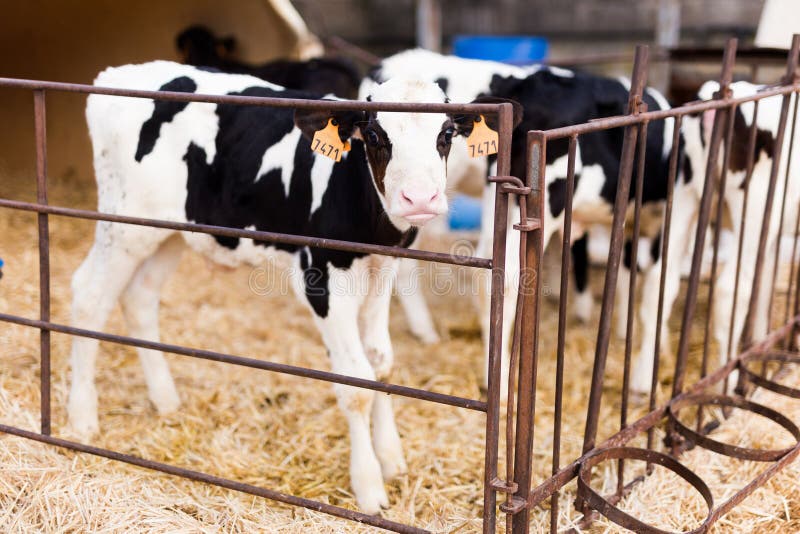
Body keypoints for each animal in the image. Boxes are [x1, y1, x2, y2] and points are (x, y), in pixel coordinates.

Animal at [68, 60, 472, 513]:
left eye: (445, 134)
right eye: (373, 135)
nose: (419, 199)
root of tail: (116, 74)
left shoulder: (381, 272)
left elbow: (381, 365)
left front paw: (391, 459)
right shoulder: (322, 280)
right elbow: (355, 383)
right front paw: (368, 487)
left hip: (169, 230)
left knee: (139, 297)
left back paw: (165, 400)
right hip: (123, 225)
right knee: (89, 297)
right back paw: (82, 417)